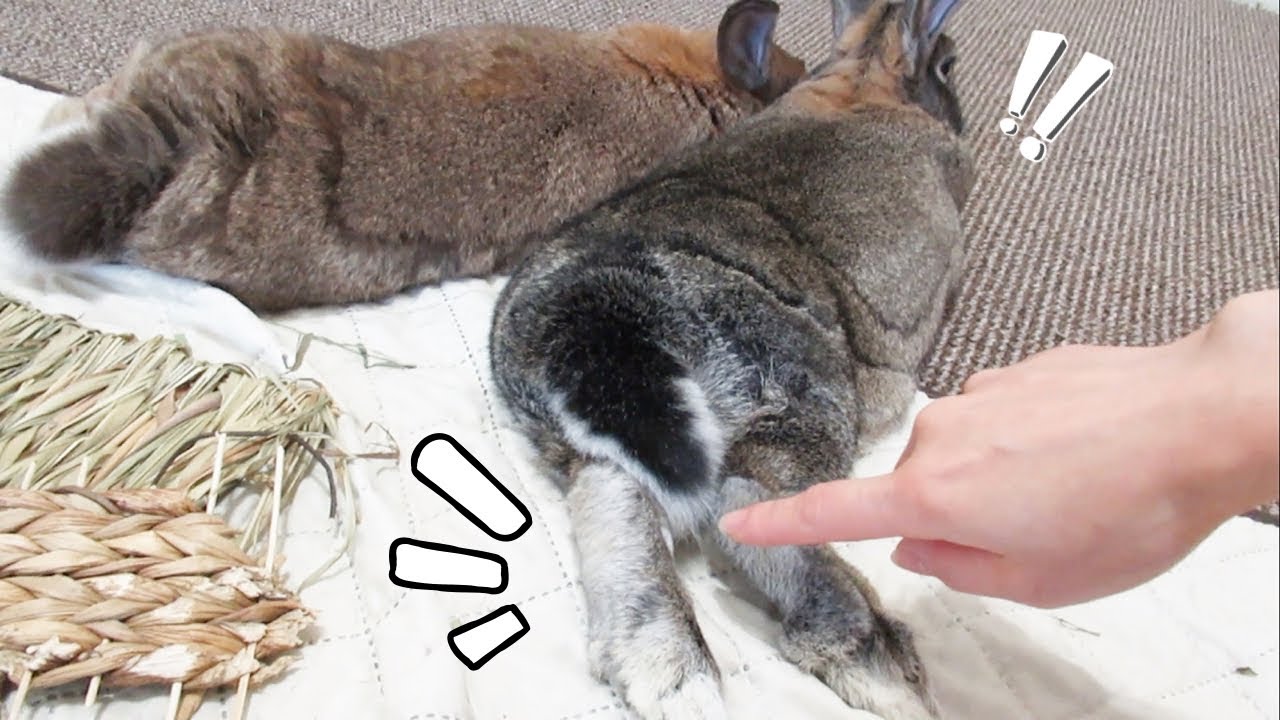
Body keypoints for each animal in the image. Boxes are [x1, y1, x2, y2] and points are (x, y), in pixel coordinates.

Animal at [487, 0, 972, 718]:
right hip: (794, 390)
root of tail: (600, 311)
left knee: (617, 500)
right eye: (948, 66)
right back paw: (884, 670)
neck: (860, 80)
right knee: (750, 503)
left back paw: (673, 676)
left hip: (612, 443)